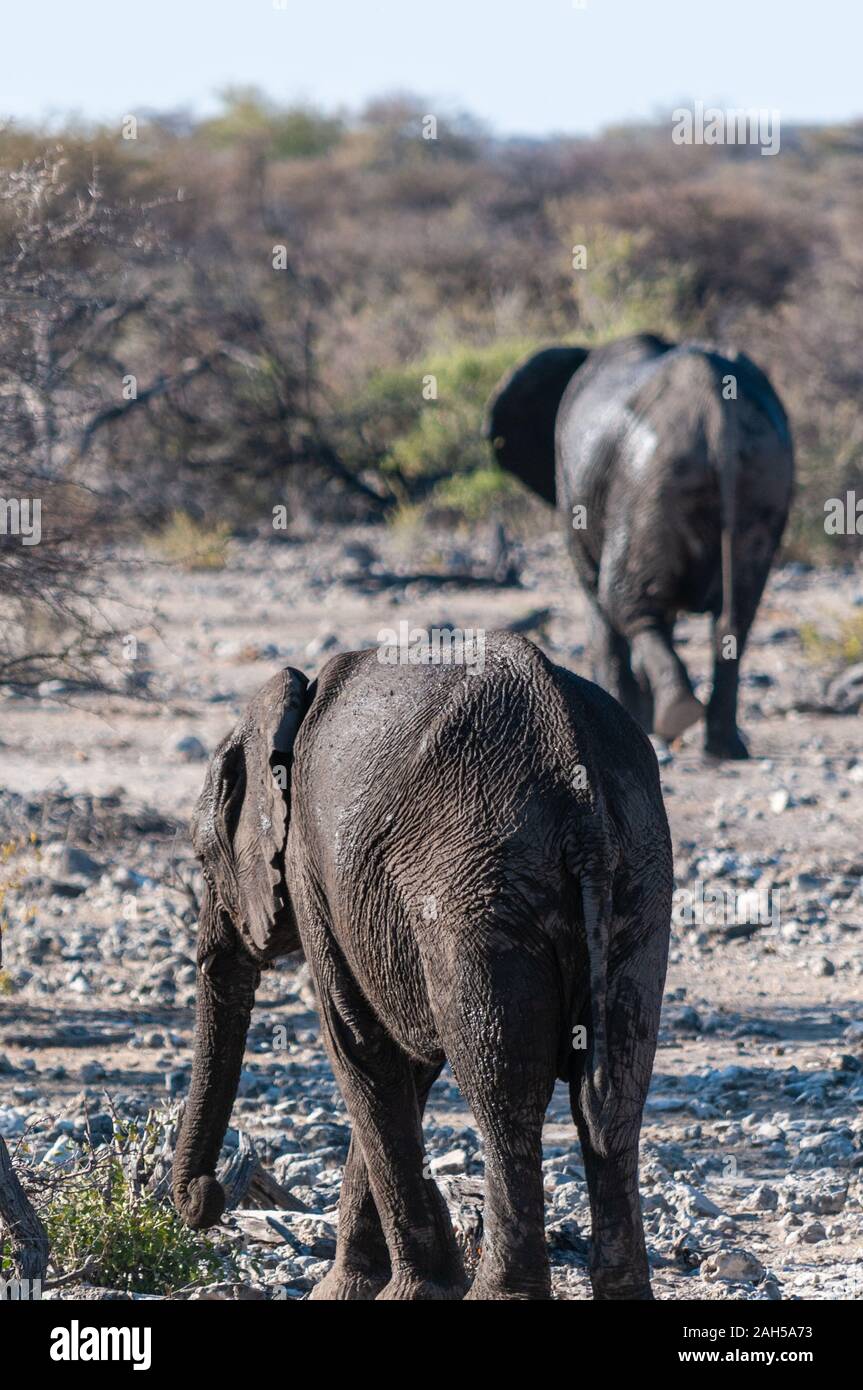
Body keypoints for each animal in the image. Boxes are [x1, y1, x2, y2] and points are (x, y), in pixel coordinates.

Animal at [172, 632, 673, 1301]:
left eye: (203, 857)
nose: (206, 1196)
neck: (288, 704)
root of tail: (579, 789)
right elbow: (404, 1066)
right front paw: (363, 1288)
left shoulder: (313, 872)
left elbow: (360, 1046)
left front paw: (394, 1293)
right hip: (639, 880)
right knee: (615, 1091)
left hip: (475, 892)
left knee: (506, 1089)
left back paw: (499, 1295)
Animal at [485, 334, 794, 758]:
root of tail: (714, 402)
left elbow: (595, 598)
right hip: (761, 476)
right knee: (733, 617)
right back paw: (722, 746)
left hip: (649, 482)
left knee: (623, 600)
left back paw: (673, 716)